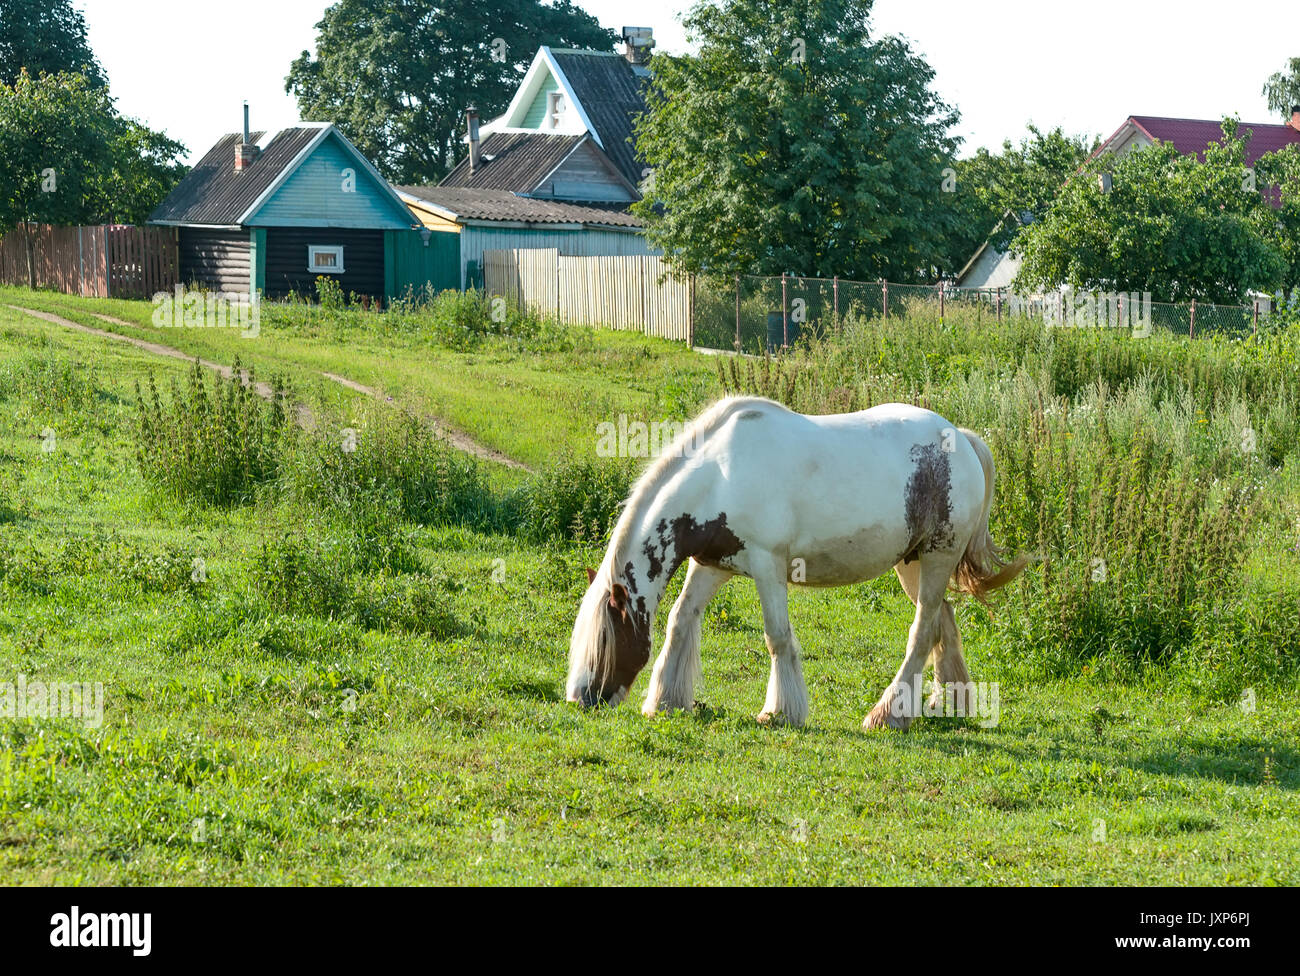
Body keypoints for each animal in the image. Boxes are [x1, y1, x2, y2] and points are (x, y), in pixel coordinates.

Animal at [565, 396, 1029, 730]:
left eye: (604, 639)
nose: (580, 700)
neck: (720, 474)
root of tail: (962, 439)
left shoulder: (768, 566)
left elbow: (777, 637)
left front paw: (780, 712)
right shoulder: (712, 565)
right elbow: (680, 620)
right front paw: (665, 701)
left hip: (936, 558)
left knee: (920, 633)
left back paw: (888, 715)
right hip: (912, 564)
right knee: (940, 622)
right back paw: (947, 702)